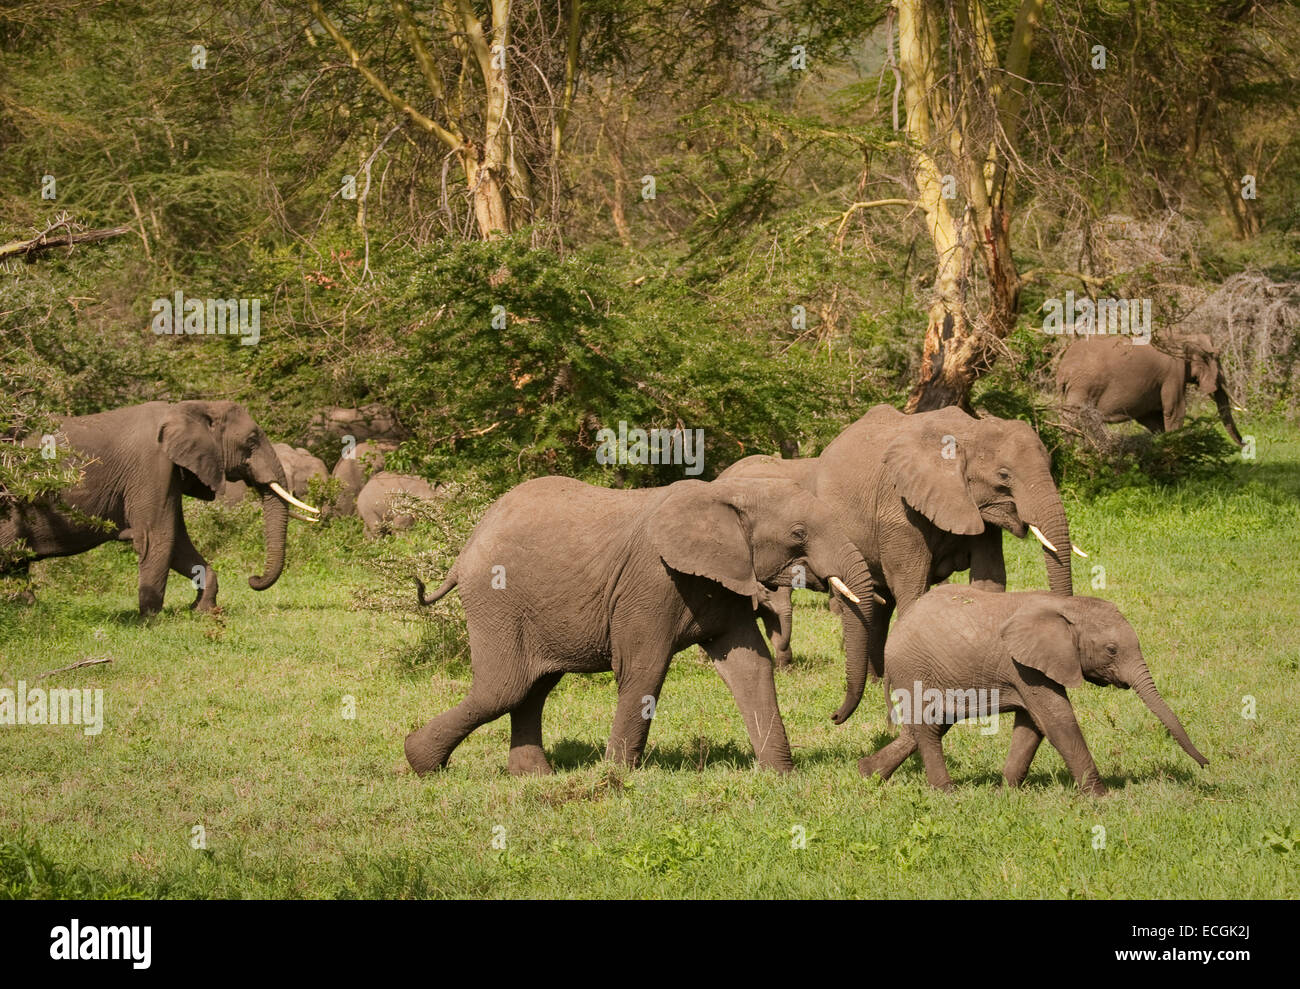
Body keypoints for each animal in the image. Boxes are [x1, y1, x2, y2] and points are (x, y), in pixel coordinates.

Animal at [0, 401, 320, 615]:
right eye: (252, 440)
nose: (253, 579)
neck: (190, 408)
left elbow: (177, 541)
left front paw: (202, 611)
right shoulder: (152, 466)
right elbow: (159, 537)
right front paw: (149, 620)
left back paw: (26, 612)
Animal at [402, 474, 875, 777]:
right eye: (798, 534)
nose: (835, 716)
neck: (723, 493)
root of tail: (465, 550)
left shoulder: (724, 580)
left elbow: (749, 666)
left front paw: (782, 777)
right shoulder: (652, 581)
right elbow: (643, 669)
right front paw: (615, 777)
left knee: (532, 688)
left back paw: (533, 777)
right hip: (496, 599)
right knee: (504, 688)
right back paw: (420, 763)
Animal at [719, 404, 1081, 724]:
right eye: (1003, 475)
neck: (969, 431)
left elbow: (989, 581)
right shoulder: (899, 509)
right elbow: (913, 586)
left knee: (878, 605)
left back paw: (877, 680)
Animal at [858, 586, 1209, 795]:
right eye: (1111, 650)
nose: (1206, 764)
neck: (1067, 606)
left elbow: (1033, 725)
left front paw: (1005, 793)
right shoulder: (1023, 666)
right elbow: (1057, 721)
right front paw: (1102, 798)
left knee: (930, 725)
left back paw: (869, 773)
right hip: (916, 670)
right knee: (930, 728)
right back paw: (947, 792)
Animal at [1057, 333, 1244, 445]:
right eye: (1217, 356)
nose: (1244, 443)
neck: (1181, 336)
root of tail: (1063, 367)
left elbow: (1151, 418)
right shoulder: (1173, 373)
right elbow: (1175, 411)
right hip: (1083, 385)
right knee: (1072, 419)